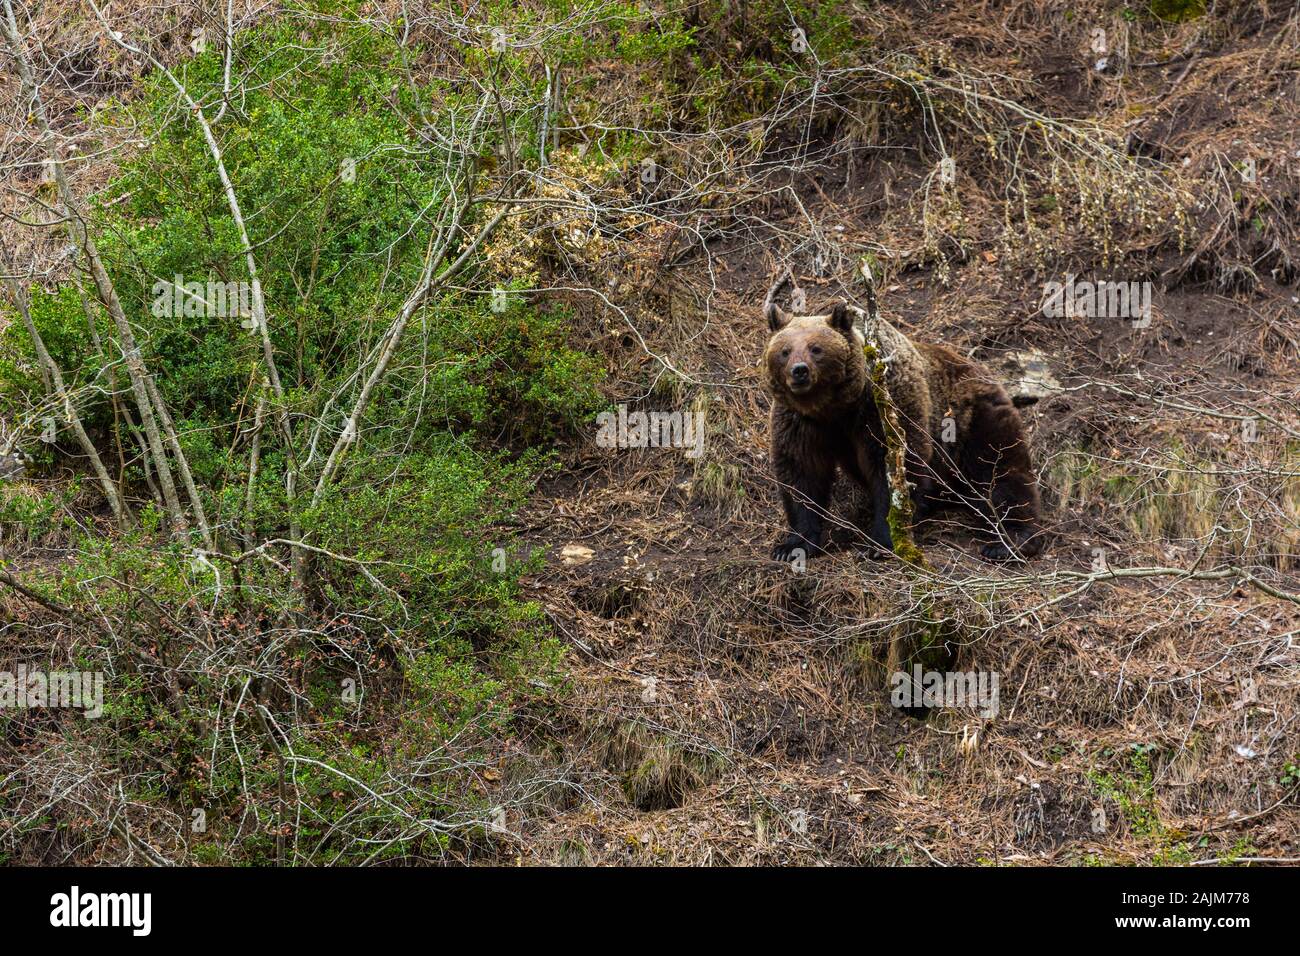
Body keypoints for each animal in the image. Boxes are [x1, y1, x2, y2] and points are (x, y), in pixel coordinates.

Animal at [763, 298, 1043, 562]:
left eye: (816, 348)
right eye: (785, 351)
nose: (799, 371)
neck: (835, 407)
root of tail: (980, 369)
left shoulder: (882, 409)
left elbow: (895, 470)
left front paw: (881, 543)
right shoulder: (800, 423)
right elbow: (801, 474)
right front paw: (792, 547)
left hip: (973, 420)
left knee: (998, 470)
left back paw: (1009, 542)